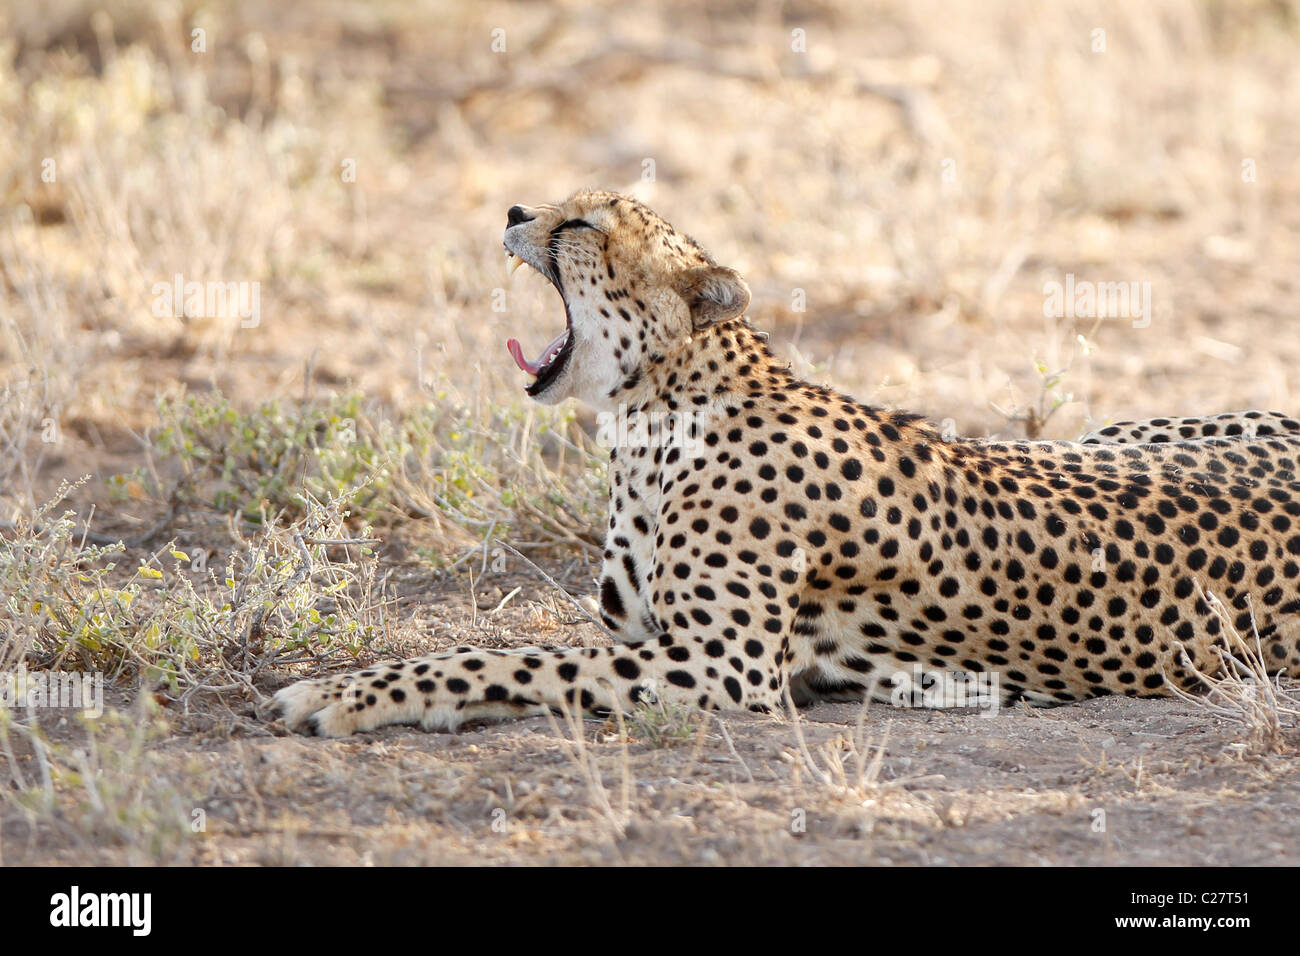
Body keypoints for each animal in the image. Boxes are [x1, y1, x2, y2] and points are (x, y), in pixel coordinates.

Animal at [274, 189, 1300, 736]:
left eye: (586, 227)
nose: (520, 210)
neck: (654, 417)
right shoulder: (642, 635)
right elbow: (527, 650)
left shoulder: (720, 667)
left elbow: (502, 656)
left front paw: (337, 693)